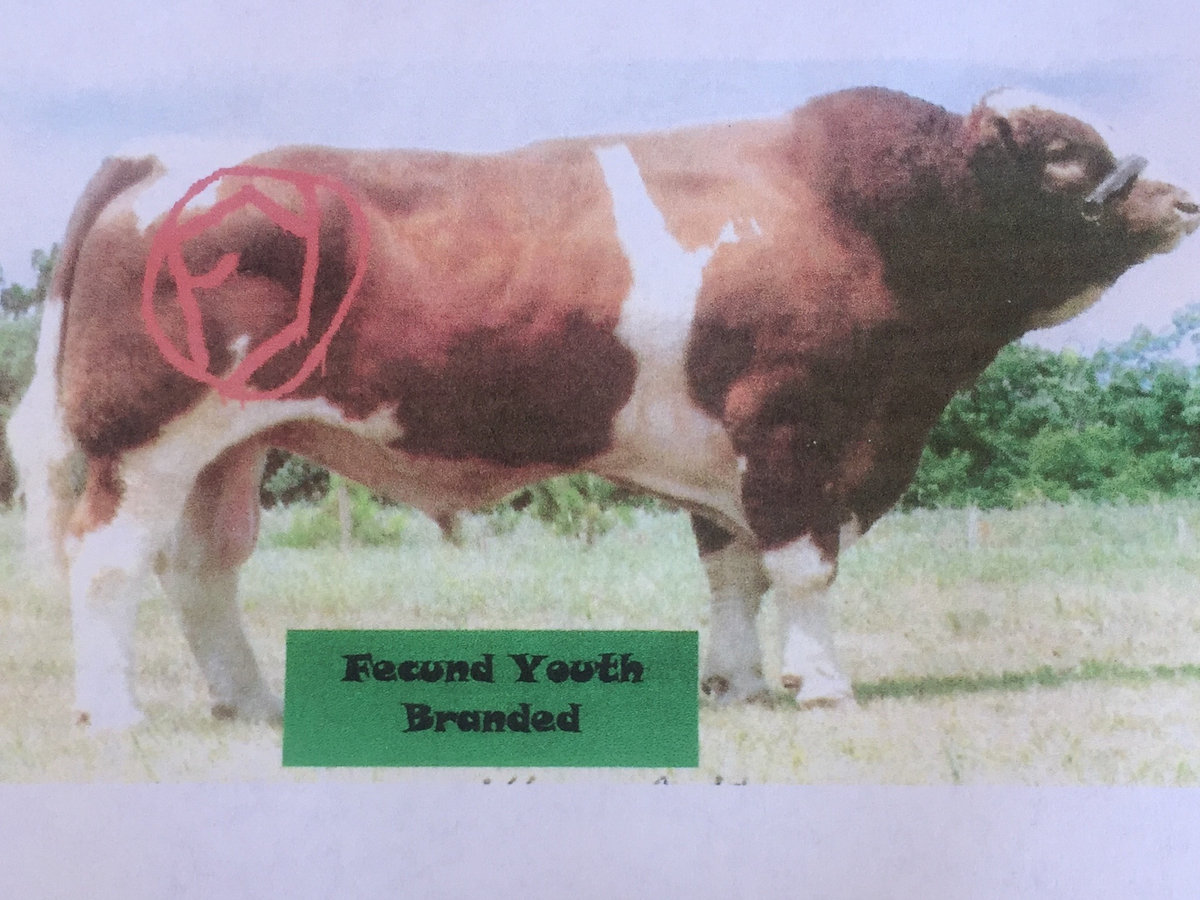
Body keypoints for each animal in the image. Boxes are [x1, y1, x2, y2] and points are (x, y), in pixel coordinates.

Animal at [7, 86, 1198, 729]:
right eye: (1062, 154)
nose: (1179, 196)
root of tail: (163, 157)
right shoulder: (796, 428)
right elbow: (803, 569)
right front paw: (821, 684)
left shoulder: (727, 457)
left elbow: (732, 571)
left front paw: (737, 683)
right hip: (148, 437)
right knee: (109, 563)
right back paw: (113, 712)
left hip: (231, 449)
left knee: (202, 571)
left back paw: (251, 704)